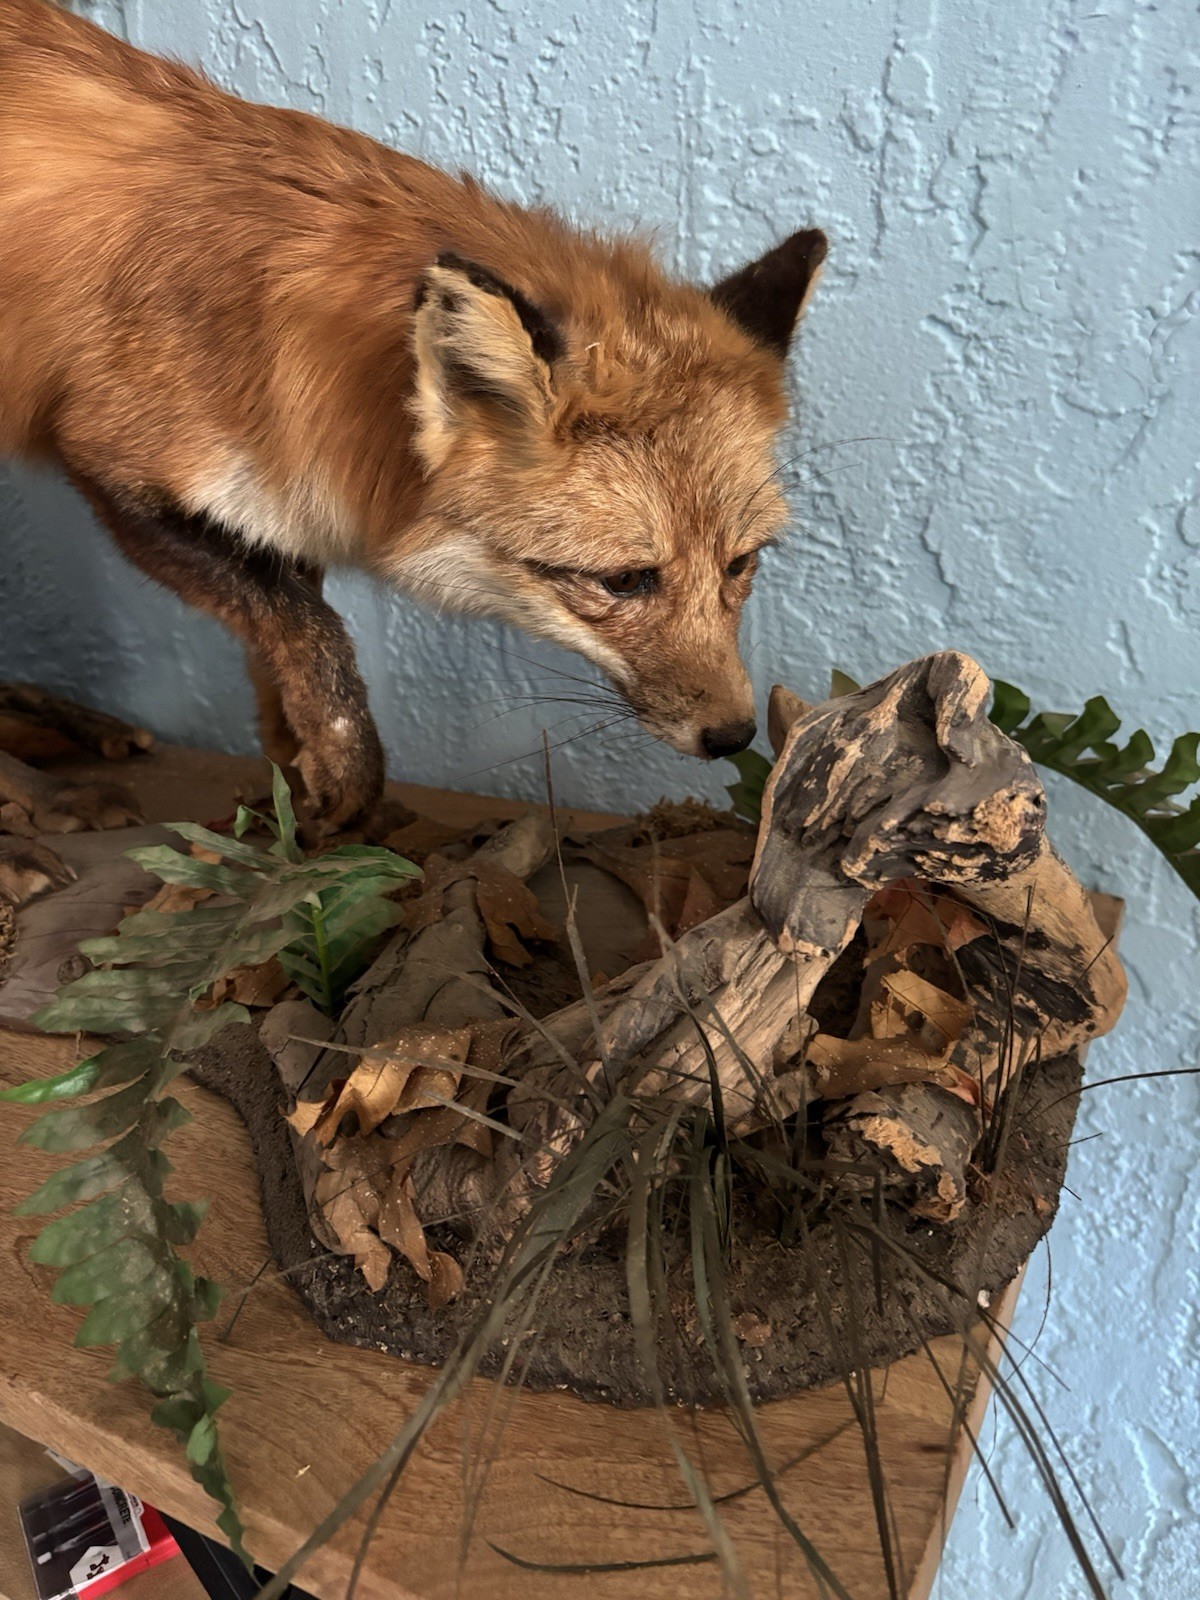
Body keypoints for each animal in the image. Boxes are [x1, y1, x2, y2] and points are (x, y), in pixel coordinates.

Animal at [0, 0, 827, 837]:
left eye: (740, 562)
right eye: (624, 580)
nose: (734, 736)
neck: (274, 346)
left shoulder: (273, 504)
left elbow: (279, 646)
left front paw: (291, 792)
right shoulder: (113, 467)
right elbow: (307, 629)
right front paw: (346, 772)